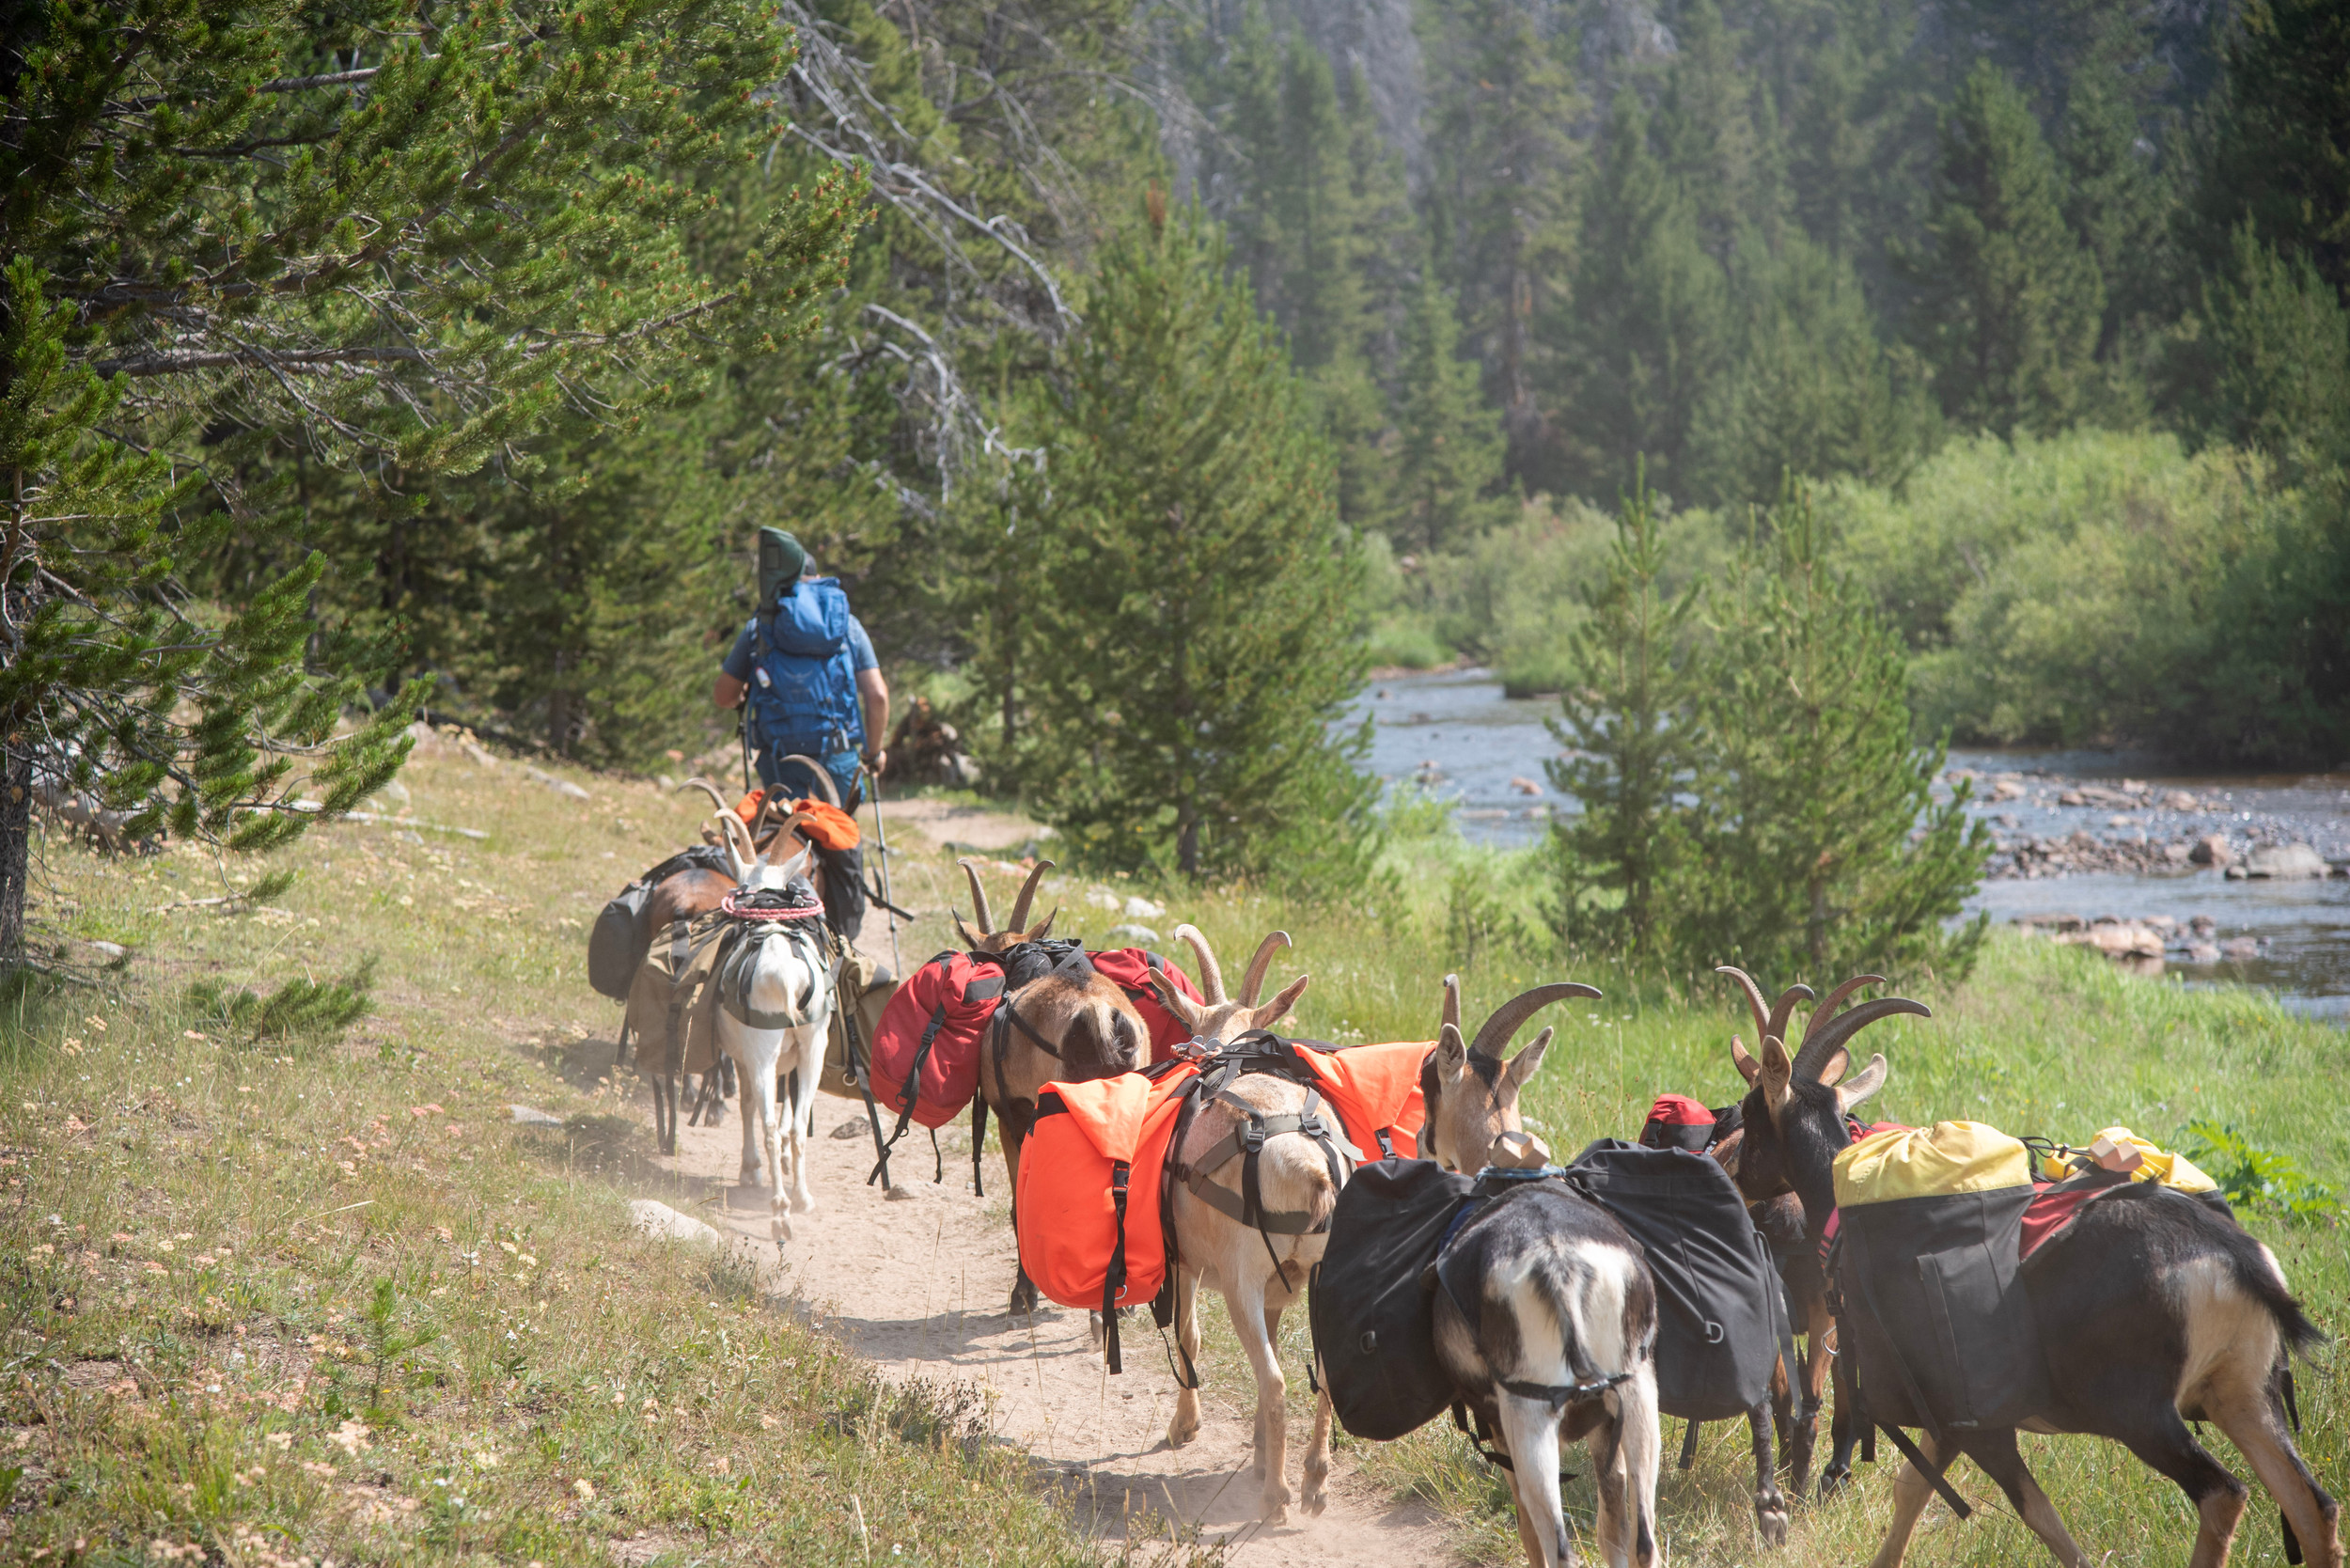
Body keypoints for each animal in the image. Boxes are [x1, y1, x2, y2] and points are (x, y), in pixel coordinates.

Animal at [1144, 925, 1328, 1522]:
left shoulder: (1185, 1259)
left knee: (1274, 1381)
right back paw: (1315, 1478)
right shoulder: (1276, 1286)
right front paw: (1258, 1453)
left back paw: (1278, 1497)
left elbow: (1188, 1335)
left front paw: (1184, 1427)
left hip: (1239, 1277)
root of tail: (1309, 1168)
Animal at [1430, 1003, 1663, 1568]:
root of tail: (1561, 1269)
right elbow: (1613, 1523)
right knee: (1645, 1539)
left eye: (1430, 1083)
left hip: (1530, 1415)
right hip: (1638, 1395)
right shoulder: (1605, 1428)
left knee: (1557, 1546)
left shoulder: (1497, 1418)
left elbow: (1527, 1528)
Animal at [1716, 966, 2341, 1568]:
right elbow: (1913, 1491)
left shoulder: (1971, 1410)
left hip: (2137, 1408)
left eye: (1751, 1108)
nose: (1734, 1173)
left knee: (2223, 1492)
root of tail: (2235, 1259)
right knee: (2313, 1505)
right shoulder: (1951, 1413)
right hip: (2246, 1389)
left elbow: (2033, 1510)